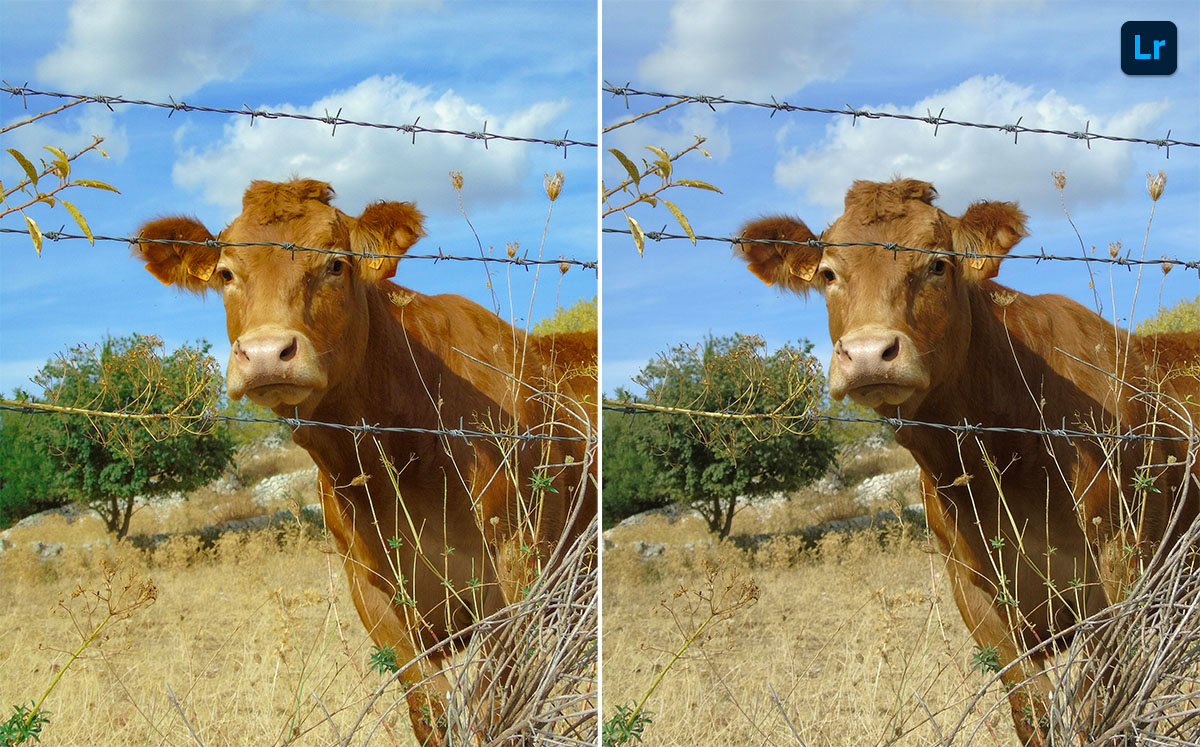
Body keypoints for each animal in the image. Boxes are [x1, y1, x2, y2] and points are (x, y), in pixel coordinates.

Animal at [135, 178, 597, 745]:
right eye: (226, 273)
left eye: (335, 264)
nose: (266, 353)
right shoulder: (372, 594)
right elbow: (429, 711)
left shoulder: (522, 569)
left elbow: (496, 710)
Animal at [738, 178, 1199, 744]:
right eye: (828, 273)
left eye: (937, 264)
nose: (868, 353)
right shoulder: (974, 594)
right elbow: (1031, 712)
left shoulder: (1125, 569)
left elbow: (1100, 709)